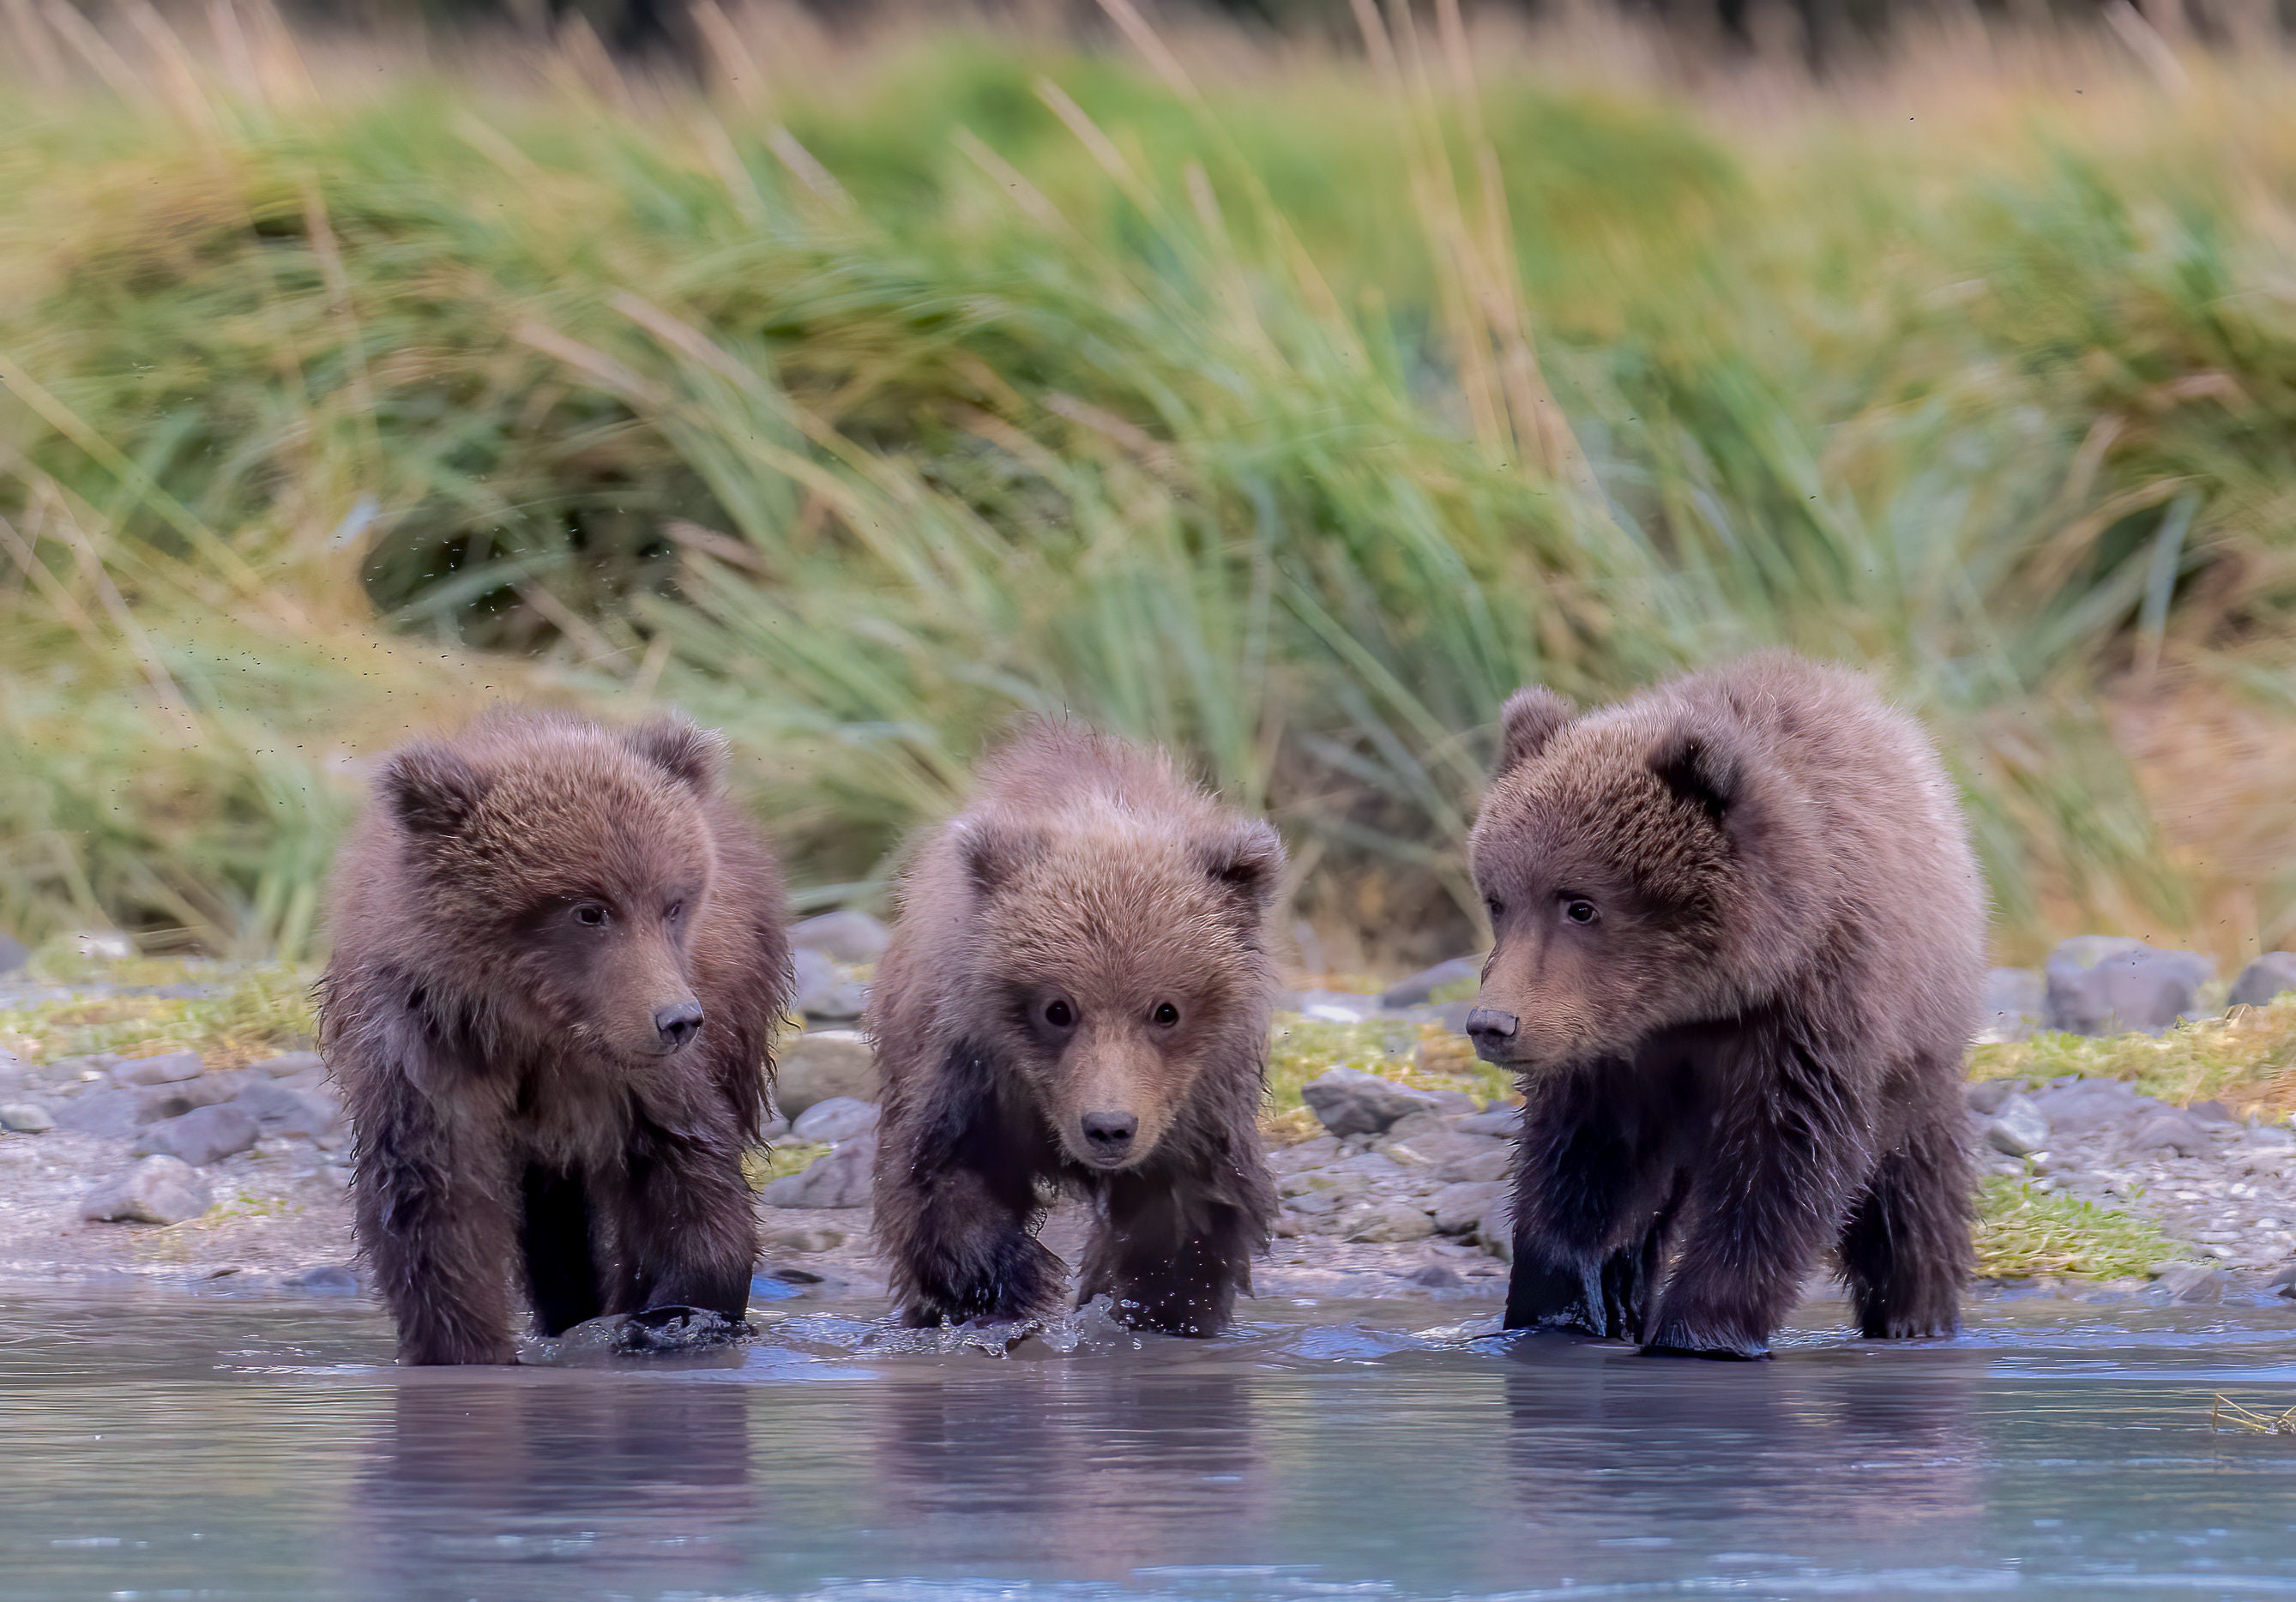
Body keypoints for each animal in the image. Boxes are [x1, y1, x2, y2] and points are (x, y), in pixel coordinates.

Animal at [319, 710, 791, 1365]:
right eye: (588, 910)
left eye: (673, 903)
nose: (677, 1019)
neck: (536, 1027)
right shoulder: (427, 1048)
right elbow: (435, 1205)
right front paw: (467, 1348)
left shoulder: (638, 1077)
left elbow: (689, 1180)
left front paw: (675, 1317)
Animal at [868, 721, 1284, 1337]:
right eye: (1057, 1009)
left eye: (1166, 1010)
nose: (1108, 1127)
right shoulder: (971, 1072)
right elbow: (941, 1178)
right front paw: (1014, 1281)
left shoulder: (1192, 1104)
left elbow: (1189, 1212)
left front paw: (1156, 1307)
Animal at [1463, 651, 1985, 1359]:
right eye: (1498, 900)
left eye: (1580, 904)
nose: (1491, 1023)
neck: (1690, 1001)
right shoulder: (1608, 1048)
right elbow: (1580, 1165)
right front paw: (1561, 1307)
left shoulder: (1809, 1015)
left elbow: (1780, 1170)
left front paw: (1698, 1330)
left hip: (1916, 1049)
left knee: (1910, 1190)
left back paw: (1914, 1314)